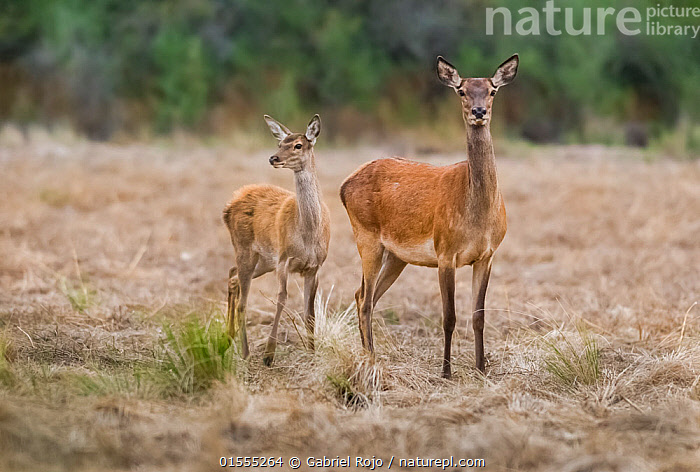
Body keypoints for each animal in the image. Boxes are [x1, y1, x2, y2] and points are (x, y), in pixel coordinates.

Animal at [223, 114, 330, 366]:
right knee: (242, 300)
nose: (274, 158)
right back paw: (245, 351)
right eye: (280, 143)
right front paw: (269, 354)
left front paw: (312, 351)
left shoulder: (315, 267)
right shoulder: (284, 259)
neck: (308, 234)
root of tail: (229, 205)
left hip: (263, 260)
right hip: (245, 248)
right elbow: (281, 298)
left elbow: (309, 311)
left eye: (298, 145)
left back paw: (228, 337)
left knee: (232, 277)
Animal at [339, 54, 518, 377]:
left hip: (396, 255)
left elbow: (479, 316)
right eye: (461, 91)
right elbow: (449, 317)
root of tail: (344, 185)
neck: (478, 217)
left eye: (492, 90)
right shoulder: (445, 252)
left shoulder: (487, 255)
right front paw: (446, 371)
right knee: (365, 298)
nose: (479, 111)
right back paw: (370, 358)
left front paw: (481, 368)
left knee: (363, 295)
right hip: (366, 237)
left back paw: (369, 354)